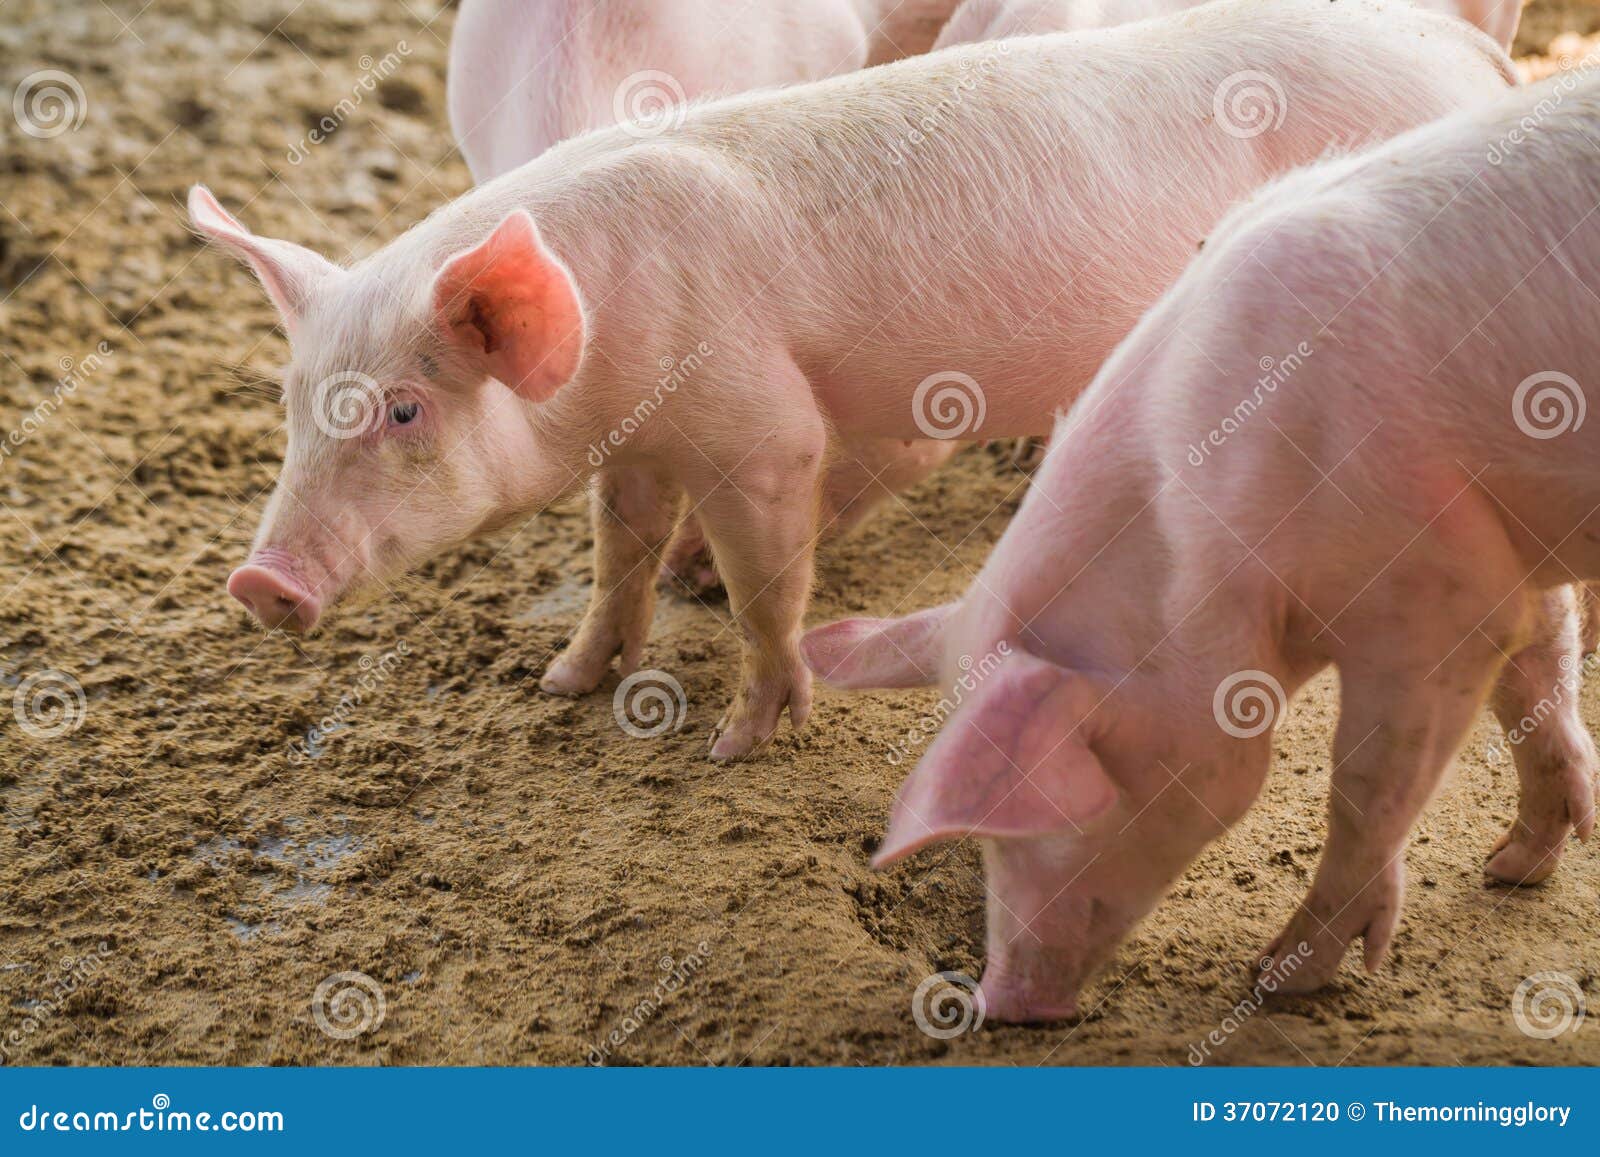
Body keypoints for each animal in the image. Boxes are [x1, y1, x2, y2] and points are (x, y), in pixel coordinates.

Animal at [192, 0, 1514, 761]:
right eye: (292, 405)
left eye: (404, 407)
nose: (258, 581)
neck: (614, 326)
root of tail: (1465, 52)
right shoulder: (634, 444)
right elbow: (617, 552)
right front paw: (566, 679)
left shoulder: (759, 424)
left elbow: (764, 577)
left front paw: (741, 741)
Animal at [802, 68, 1600, 1021]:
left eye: (1033, 818)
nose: (995, 996)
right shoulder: (1505, 543)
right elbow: (1538, 675)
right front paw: (1512, 867)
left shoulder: (1434, 597)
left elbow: (1367, 789)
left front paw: (1280, 976)